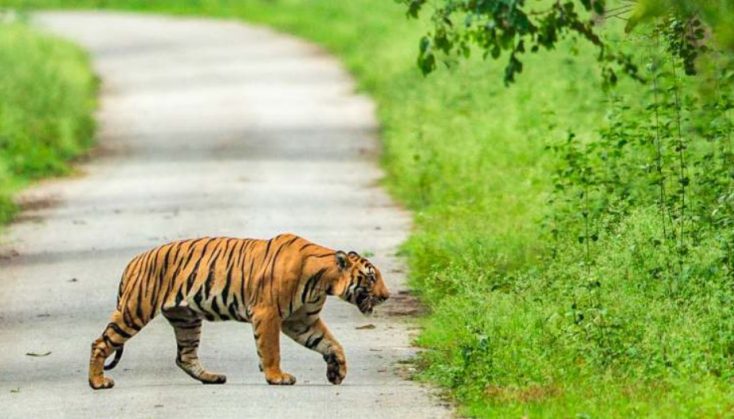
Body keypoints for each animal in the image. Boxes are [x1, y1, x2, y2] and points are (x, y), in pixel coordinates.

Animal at [88, 233, 390, 390]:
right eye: (371, 277)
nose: (386, 296)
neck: (324, 281)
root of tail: (134, 260)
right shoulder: (268, 313)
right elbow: (271, 349)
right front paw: (276, 376)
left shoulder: (301, 321)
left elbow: (331, 343)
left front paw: (337, 371)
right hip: (135, 310)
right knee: (100, 343)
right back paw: (98, 381)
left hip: (186, 320)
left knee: (185, 356)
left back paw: (211, 377)